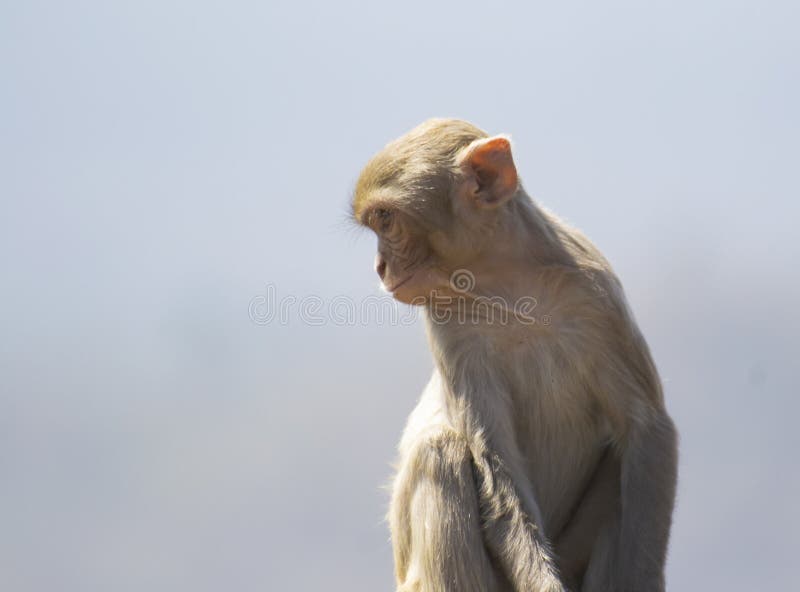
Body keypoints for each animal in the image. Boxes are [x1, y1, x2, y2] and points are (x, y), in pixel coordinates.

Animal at [352, 119, 678, 592]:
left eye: (386, 219)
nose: (379, 267)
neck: (507, 283)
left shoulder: (597, 294)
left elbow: (646, 430)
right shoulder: (451, 328)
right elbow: (496, 466)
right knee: (441, 450)